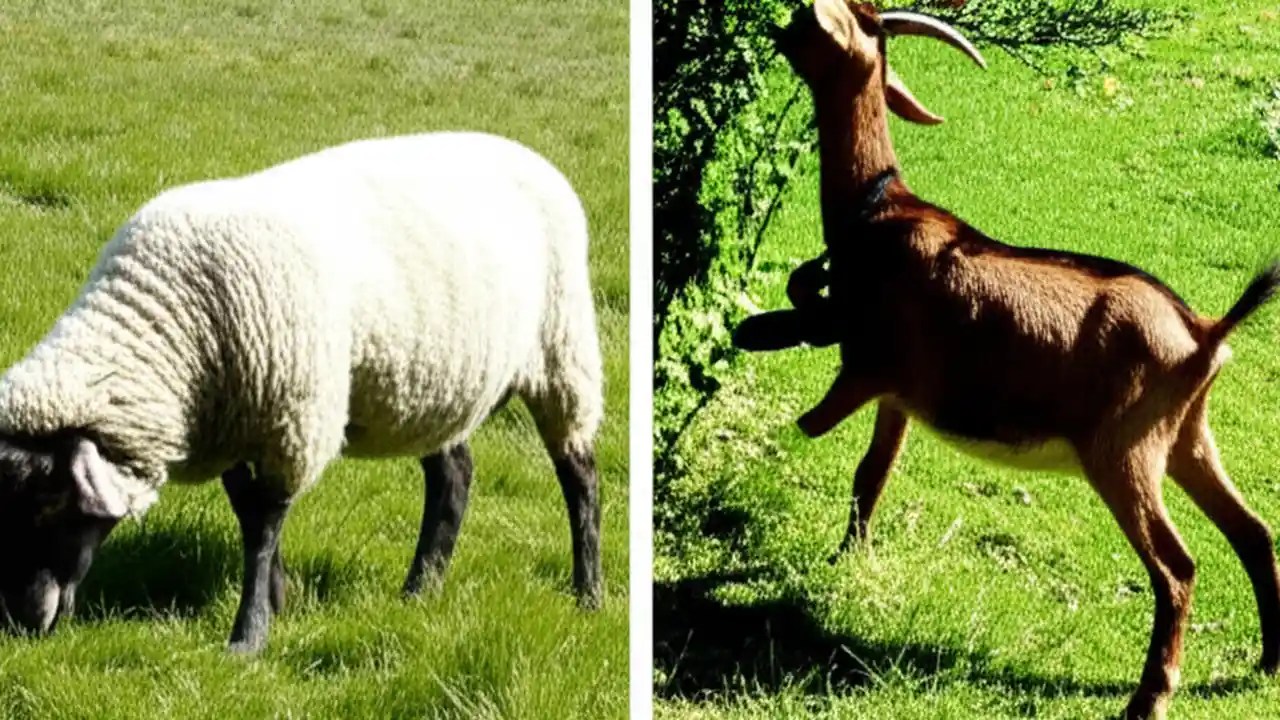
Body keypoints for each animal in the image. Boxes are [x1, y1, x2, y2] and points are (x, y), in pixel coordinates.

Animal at [0, 131, 605, 653]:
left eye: (52, 507)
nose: (23, 624)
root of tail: (525, 153)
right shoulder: (237, 424)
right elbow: (248, 515)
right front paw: (278, 599)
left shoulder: (289, 421)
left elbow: (264, 525)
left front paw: (249, 636)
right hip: (436, 387)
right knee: (454, 475)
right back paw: (420, 589)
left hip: (563, 352)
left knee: (580, 477)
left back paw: (589, 594)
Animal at [732, 2, 1280, 718]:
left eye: (826, 22)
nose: (786, 20)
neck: (879, 211)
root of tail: (1204, 335)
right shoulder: (897, 395)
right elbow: (869, 475)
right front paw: (844, 560)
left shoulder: (865, 365)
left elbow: (810, 413)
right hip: (1187, 437)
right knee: (1253, 531)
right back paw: (1268, 661)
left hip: (1124, 452)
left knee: (1178, 566)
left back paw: (1151, 695)